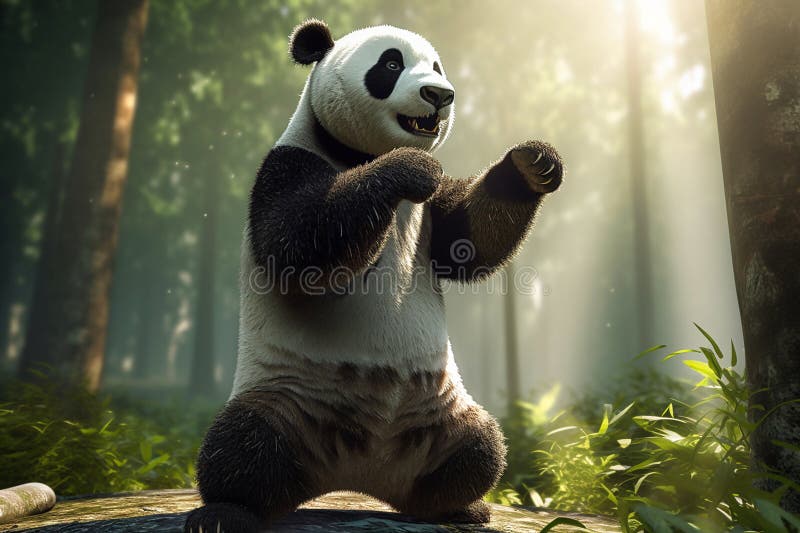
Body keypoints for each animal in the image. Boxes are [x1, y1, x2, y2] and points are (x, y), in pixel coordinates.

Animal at [185, 19, 563, 533]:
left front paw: (533, 163)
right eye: (390, 64)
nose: (439, 94)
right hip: (286, 395)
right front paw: (408, 167)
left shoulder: (430, 215)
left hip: (439, 412)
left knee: (479, 447)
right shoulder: (286, 165)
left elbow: (471, 240)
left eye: (436, 66)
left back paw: (457, 505)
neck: (353, 154)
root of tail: (359, 472)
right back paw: (226, 511)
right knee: (244, 447)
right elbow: (295, 246)